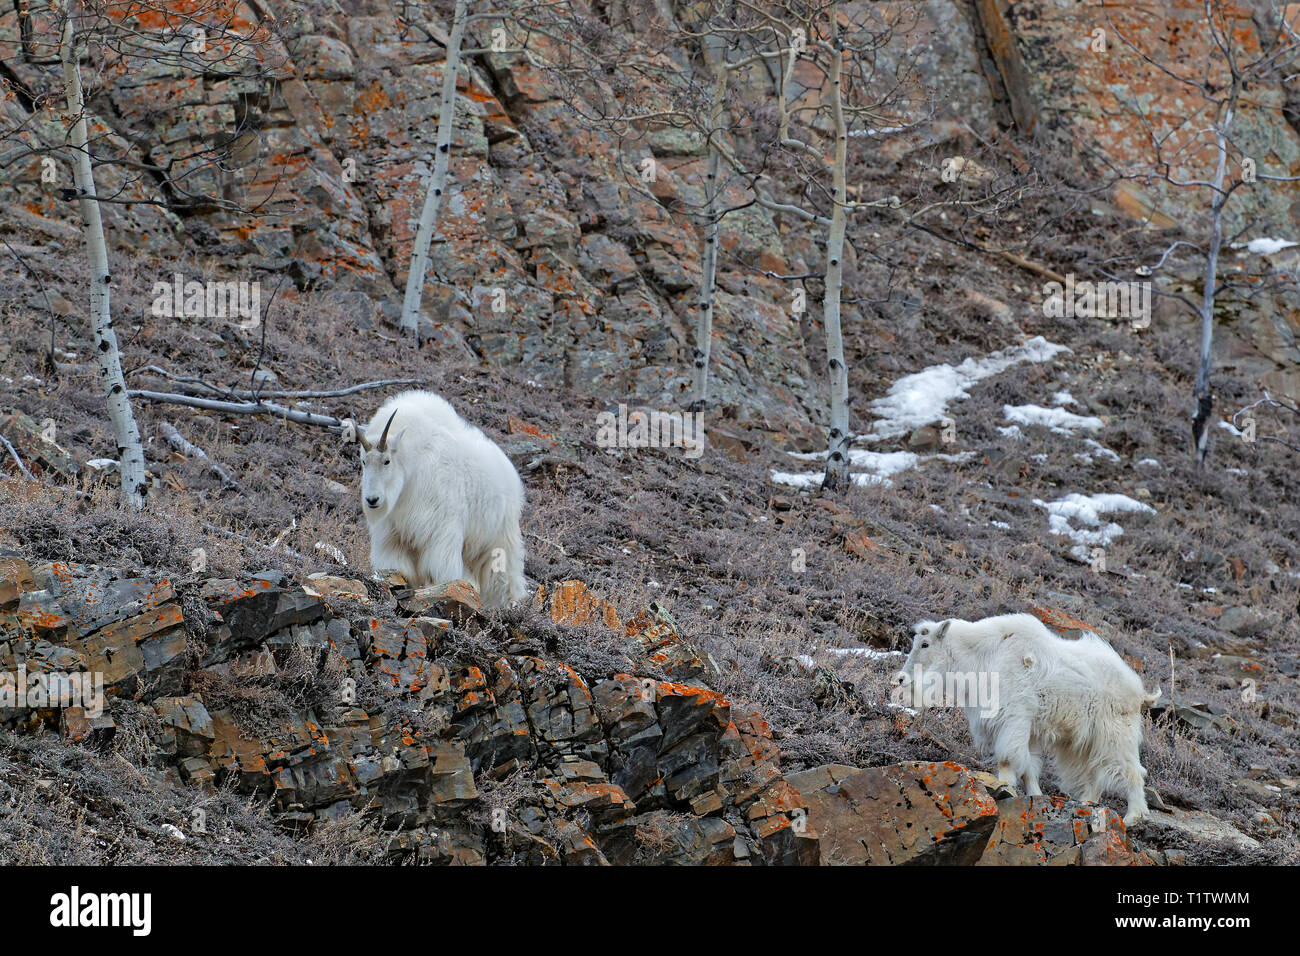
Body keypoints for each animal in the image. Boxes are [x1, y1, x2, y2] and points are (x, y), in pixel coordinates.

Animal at [359, 390, 527, 608]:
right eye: (363, 461)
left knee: (505, 575)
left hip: (501, 537)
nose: (372, 500)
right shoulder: (394, 535)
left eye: (387, 461)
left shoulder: (441, 531)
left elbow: (440, 570)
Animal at [895, 613, 1160, 825]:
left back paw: (1134, 816)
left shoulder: (1013, 718)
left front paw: (1005, 787)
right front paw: (1035, 795)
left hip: (1117, 732)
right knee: (1097, 771)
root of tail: (1138, 690)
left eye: (925, 644)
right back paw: (1087, 802)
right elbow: (1030, 767)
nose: (901, 678)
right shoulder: (1028, 729)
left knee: (1132, 770)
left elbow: (1008, 758)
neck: (984, 656)